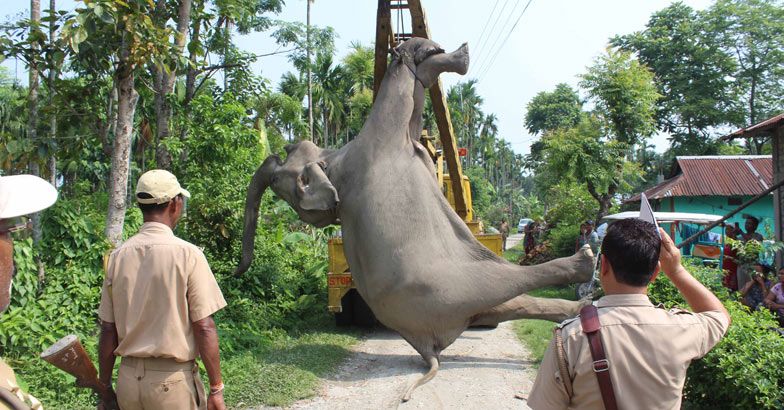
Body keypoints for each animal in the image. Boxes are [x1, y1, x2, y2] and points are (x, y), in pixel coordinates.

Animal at [236, 37, 594, 401]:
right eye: (282, 168)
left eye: (286, 153)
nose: (283, 146)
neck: (333, 161)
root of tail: (427, 349)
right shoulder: (377, 143)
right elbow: (403, 96)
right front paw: (427, 54)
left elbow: (416, 113)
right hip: (450, 289)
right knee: (507, 281)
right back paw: (586, 263)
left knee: (510, 304)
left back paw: (579, 309)